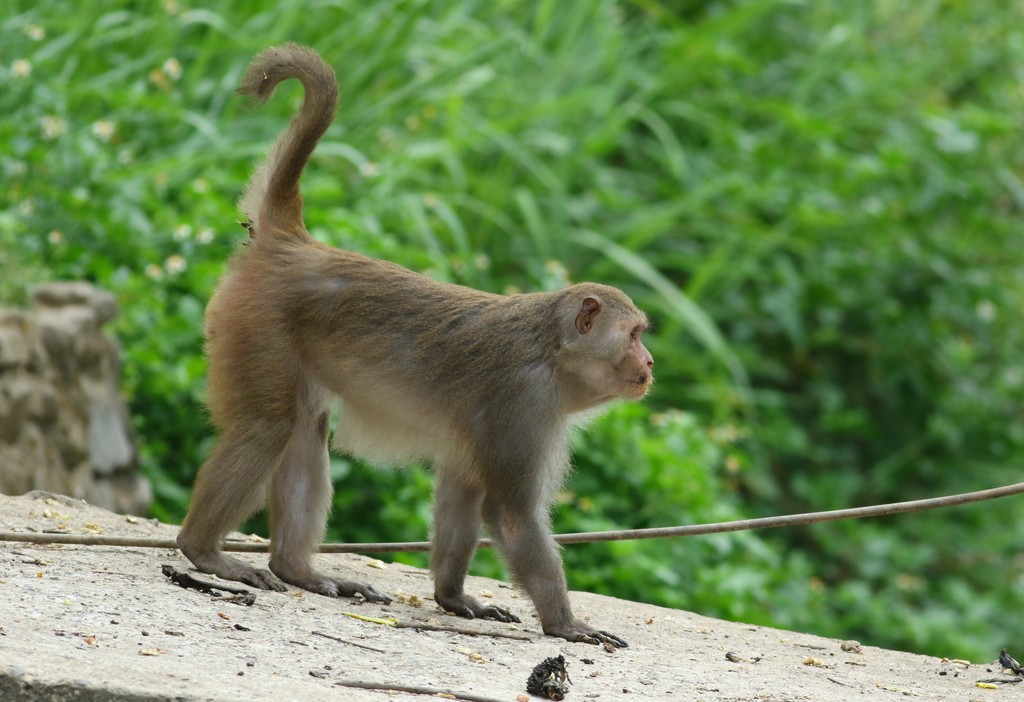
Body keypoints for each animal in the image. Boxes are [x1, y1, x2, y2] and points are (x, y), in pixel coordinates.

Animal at [175, 43, 653, 647]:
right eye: (634, 334)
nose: (649, 361)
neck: (552, 354)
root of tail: (294, 244)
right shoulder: (523, 405)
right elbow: (512, 515)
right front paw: (566, 624)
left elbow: (463, 489)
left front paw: (454, 598)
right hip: (256, 327)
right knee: (269, 427)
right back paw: (203, 551)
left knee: (304, 431)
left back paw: (297, 568)